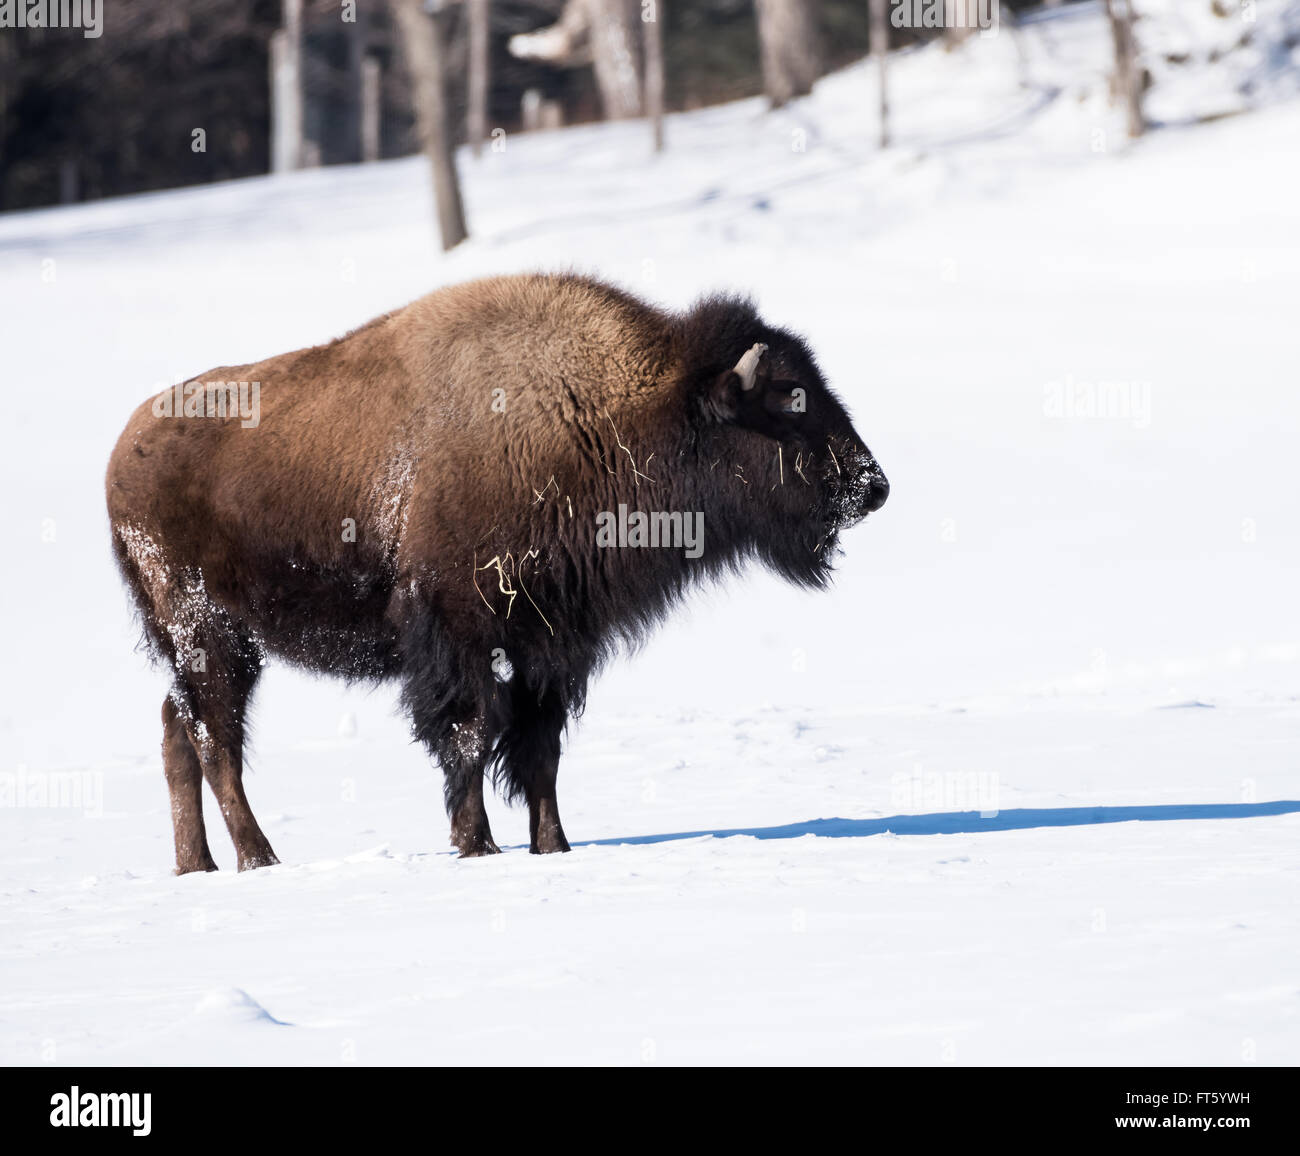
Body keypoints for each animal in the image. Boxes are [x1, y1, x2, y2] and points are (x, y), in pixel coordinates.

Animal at [106, 273, 888, 872]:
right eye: (789, 397)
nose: (871, 485)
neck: (605, 412)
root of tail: (124, 449)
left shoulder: (552, 645)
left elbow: (540, 751)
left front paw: (554, 847)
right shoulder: (463, 638)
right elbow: (470, 737)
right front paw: (477, 846)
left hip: (209, 646)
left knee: (180, 731)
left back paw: (199, 865)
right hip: (210, 633)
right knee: (216, 742)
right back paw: (259, 858)